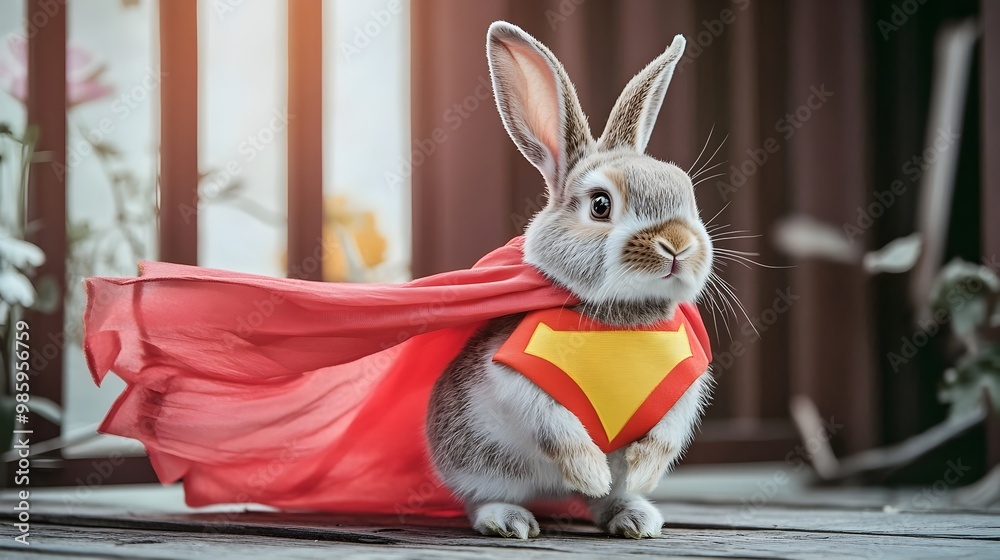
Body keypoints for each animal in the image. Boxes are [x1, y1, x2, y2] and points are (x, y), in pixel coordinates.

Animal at [425, 21, 714, 540]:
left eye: (687, 194)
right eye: (600, 205)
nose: (678, 245)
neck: (622, 317)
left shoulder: (688, 382)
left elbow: (669, 429)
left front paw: (642, 473)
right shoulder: (514, 370)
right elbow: (552, 422)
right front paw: (591, 470)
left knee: (601, 504)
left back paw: (633, 513)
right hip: (478, 459)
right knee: (481, 498)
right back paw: (511, 519)